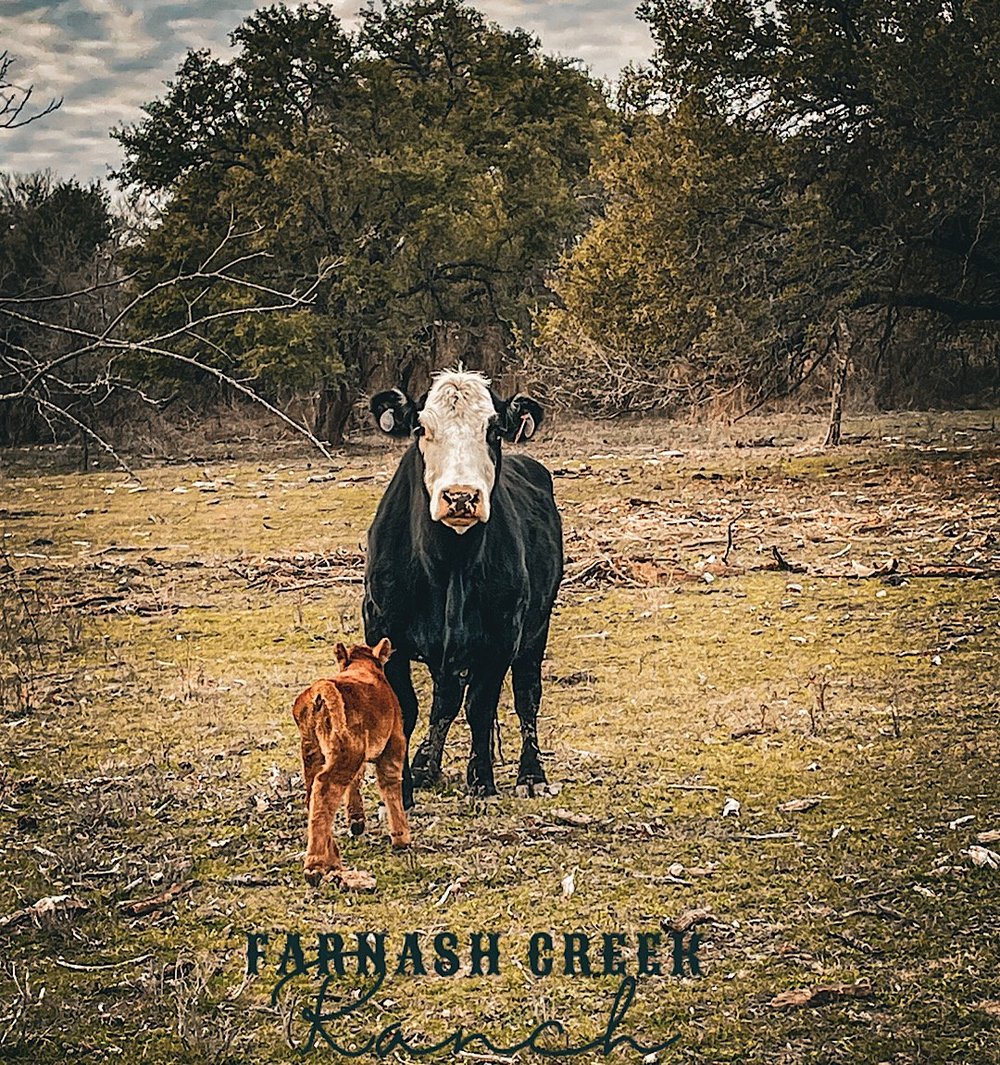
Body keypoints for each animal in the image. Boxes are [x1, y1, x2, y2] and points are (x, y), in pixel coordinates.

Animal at [291, 638, 411, 889]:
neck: (363, 666)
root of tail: (320, 689)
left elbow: (357, 780)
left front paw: (357, 821)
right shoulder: (394, 744)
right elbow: (390, 784)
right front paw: (401, 838)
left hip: (313, 753)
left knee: (313, 796)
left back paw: (333, 861)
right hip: (346, 754)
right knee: (325, 788)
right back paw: (315, 867)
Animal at [364, 368, 563, 806]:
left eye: (495, 430)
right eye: (421, 426)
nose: (460, 497)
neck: (447, 565)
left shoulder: (502, 634)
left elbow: (481, 707)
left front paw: (482, 783)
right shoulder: (383, 630)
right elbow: (408, 708)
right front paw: (402, 791)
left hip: (536, 629)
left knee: (526, 696)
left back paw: (531, 775)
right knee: (445, 699)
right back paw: (425, 765)